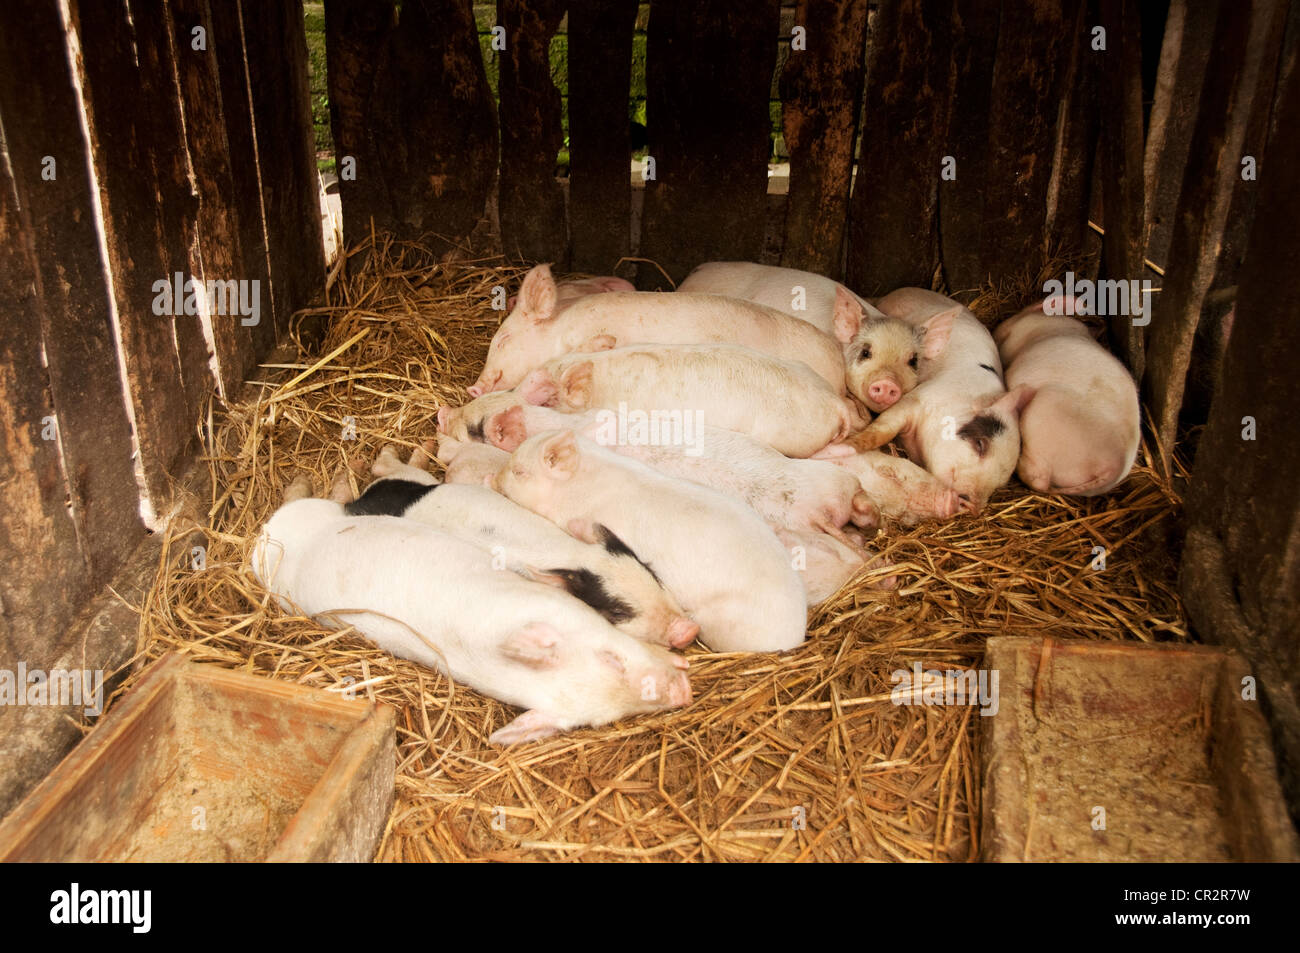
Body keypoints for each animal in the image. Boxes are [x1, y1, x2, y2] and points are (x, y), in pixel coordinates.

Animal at [346, 445, 699, 648]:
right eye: (617, 612)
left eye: (654, 576)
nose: (689, 630)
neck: (575, 556)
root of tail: (366, 500)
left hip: (421, 483)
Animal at [838, 288, 1031, 512]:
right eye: (980, 445)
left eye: (1001, 484)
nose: (972, 505)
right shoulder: (919, 398)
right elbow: (884, 427)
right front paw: (848, 446)